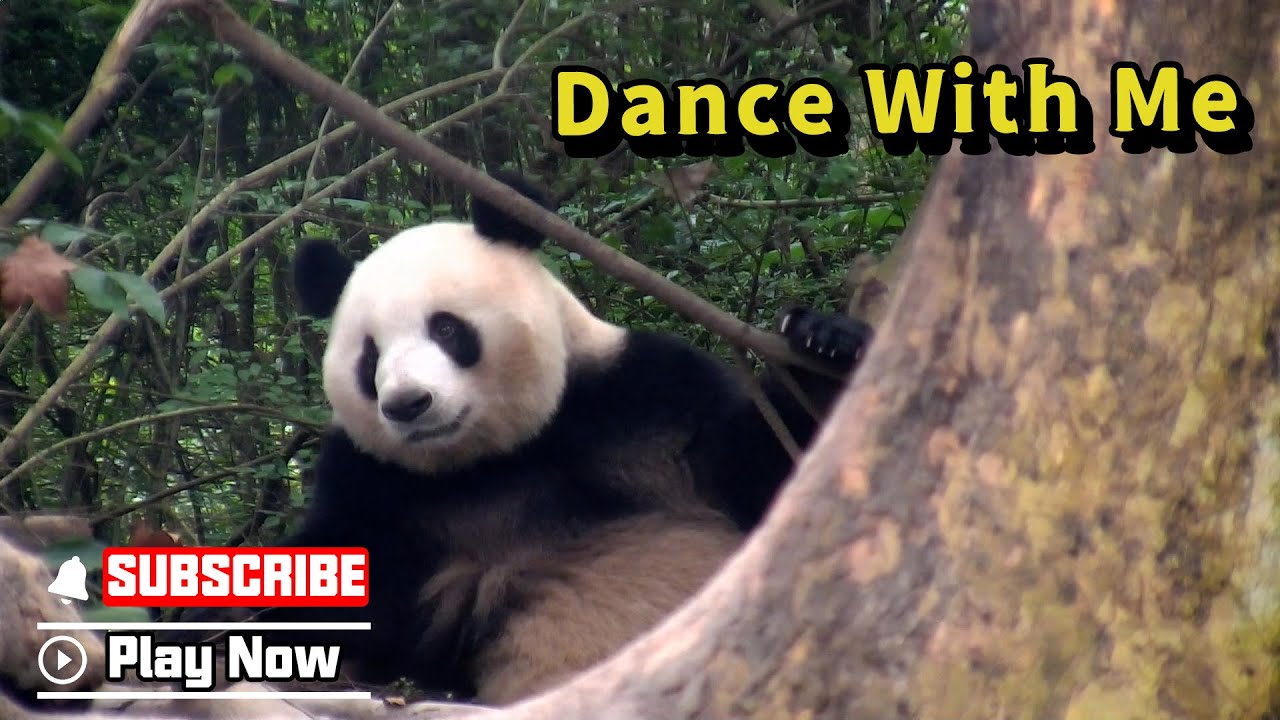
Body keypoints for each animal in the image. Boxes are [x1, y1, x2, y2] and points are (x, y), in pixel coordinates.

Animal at [245, 173, 871, 704]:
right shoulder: (372, 483)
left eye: (446, 328)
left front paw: (826, 340)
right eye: (370, 356)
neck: (495, 458)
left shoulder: (647, 402)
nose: (407, 404)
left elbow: (768, 472)